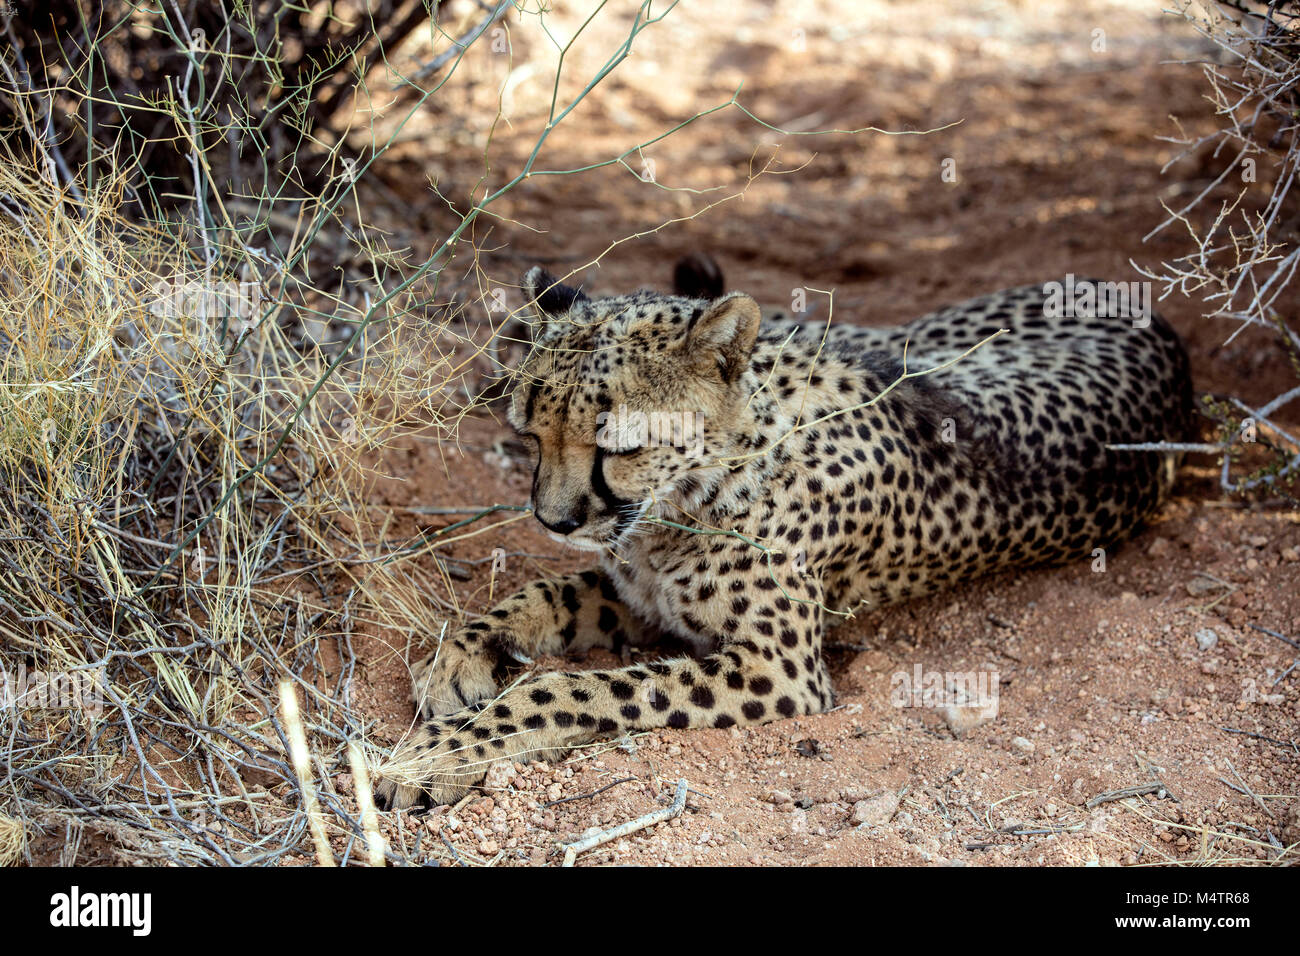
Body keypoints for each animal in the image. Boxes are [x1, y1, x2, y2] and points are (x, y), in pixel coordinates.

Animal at [373, 264, 1192, 810]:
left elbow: (572, 688)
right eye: (529, 435)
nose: (555, 521)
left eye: (616, 445)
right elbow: (535, 595)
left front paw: (434, 757)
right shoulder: (639, 594)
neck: (704, 479)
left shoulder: (778, 668)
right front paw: (457, 660)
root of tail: (1144, 309)